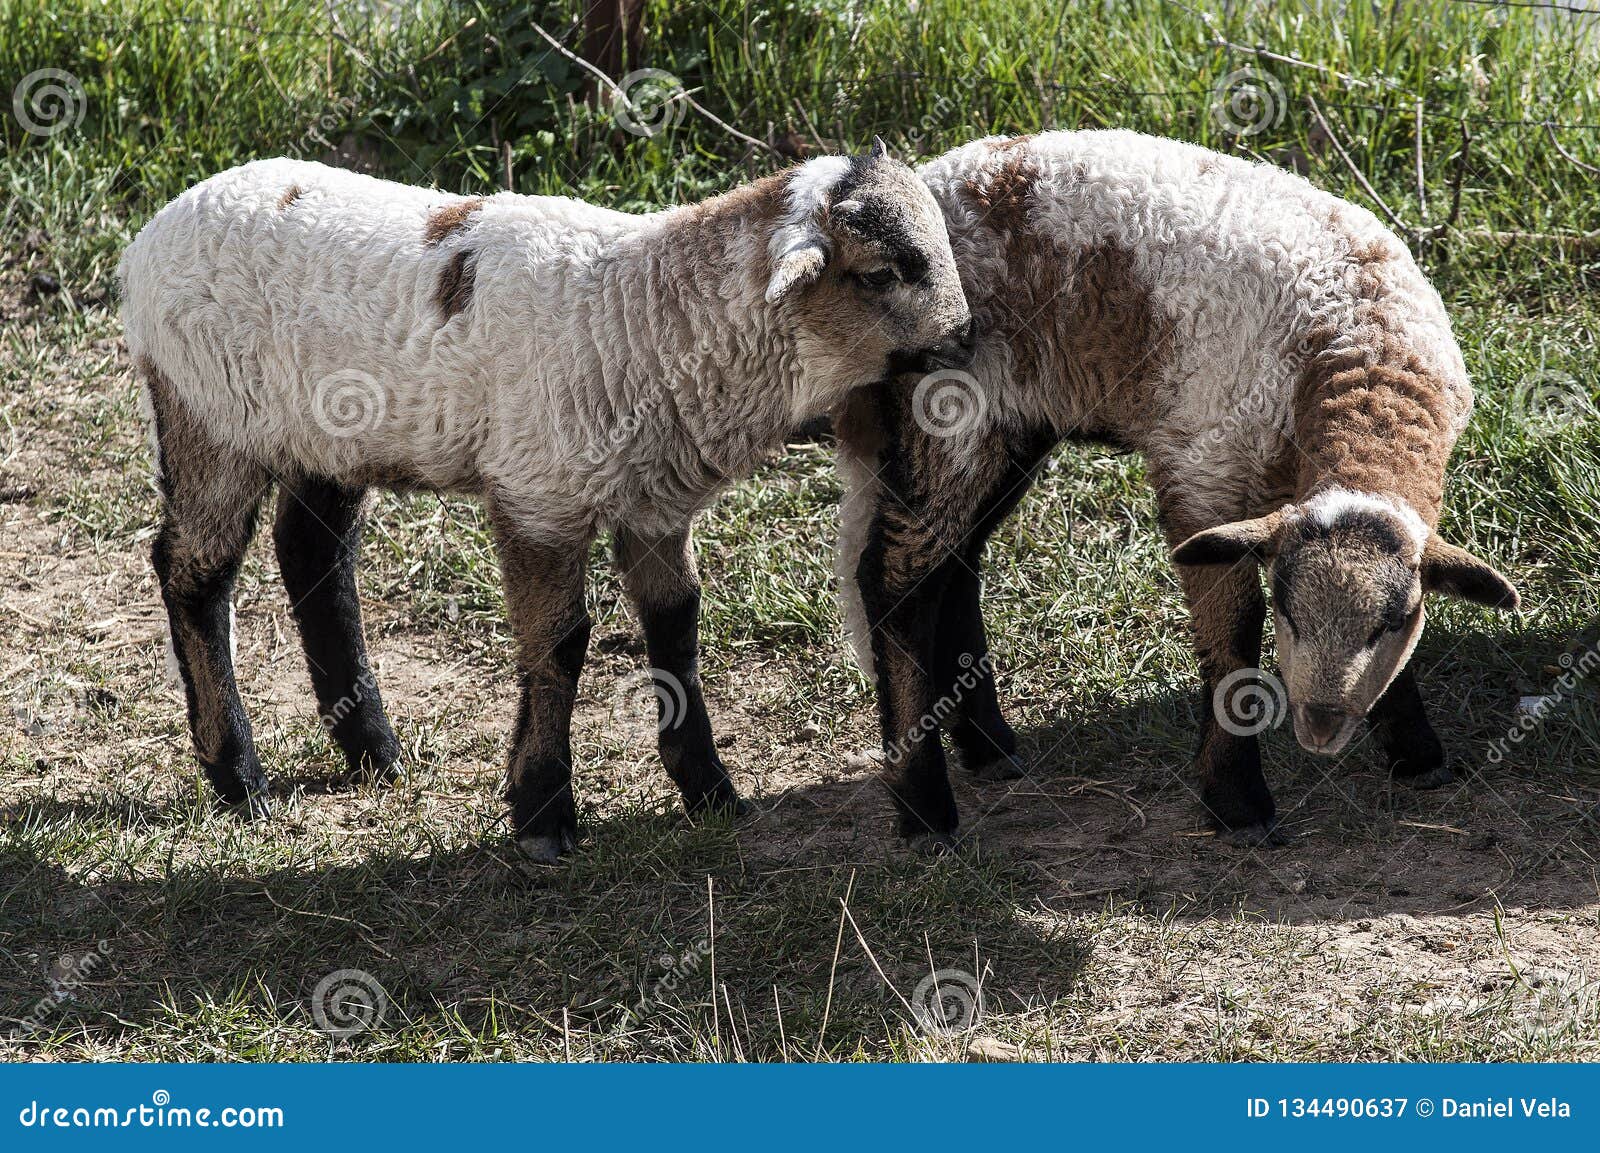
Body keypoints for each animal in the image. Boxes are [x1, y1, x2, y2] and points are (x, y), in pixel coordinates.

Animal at [118, 141, 974, 861]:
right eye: (880, 271)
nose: (966, 338)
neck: (644, 311)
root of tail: (150, 234)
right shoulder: (539, 494)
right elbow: (559, 642)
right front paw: (543, 812)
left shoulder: (656, 502)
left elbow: (676, 628)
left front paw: (709, 788)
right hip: (209, 416)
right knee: (193, 572)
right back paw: (238, 776)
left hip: (327, 432)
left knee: (312, 556)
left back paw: (372, 748)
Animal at [834, 129, 1519, 851]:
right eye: (1290, 611)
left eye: (1392, 621)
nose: (1321, 726)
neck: (1361, 368)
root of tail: (933, 175)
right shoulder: (1205, 473)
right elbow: (1233, 632)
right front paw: (1237, 800)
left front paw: (1417, 753)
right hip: (947, 411)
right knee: (897, 582)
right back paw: (924, 807)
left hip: (1013, 421)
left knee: (955, 565)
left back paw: (988, 747)